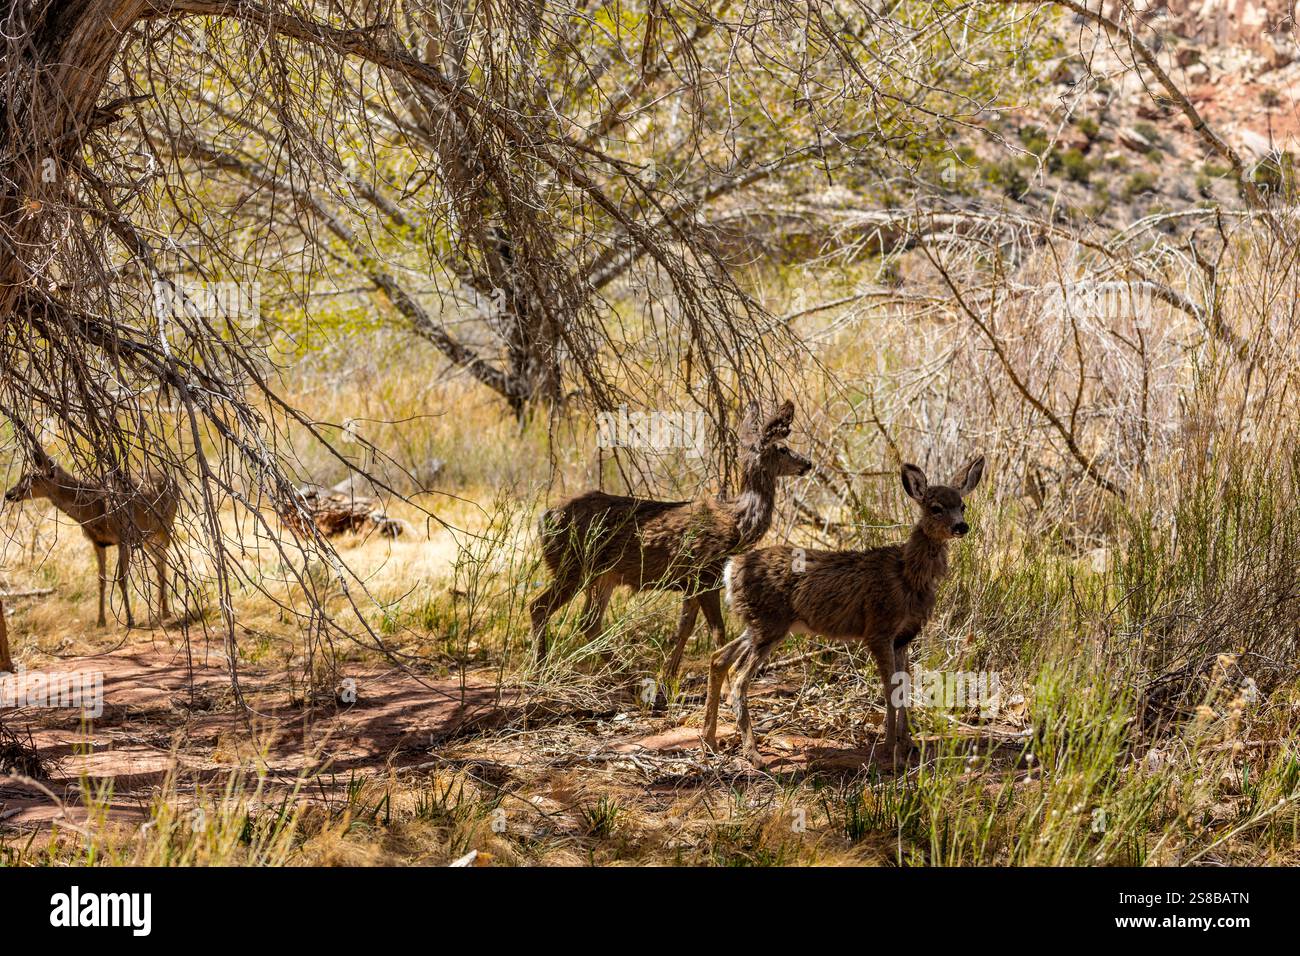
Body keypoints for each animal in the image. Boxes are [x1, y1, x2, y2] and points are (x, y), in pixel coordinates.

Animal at [4, 450, 179, 629]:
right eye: (24, 474)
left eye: (34, 476)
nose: (9, 494)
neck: (95, 509)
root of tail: (172, 479)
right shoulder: (98, 542)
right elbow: (101, 580)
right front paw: (100, 621)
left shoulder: (123, 537)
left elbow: (121, 578)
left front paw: (130, 620)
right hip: (148, 536)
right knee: (160, 562)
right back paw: (162, 612)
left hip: (165, 526)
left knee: (163, 560)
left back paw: (162, 612)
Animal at [530, 400, 812, 681]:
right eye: (783, 448)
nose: (807, 463)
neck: (737, 521)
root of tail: (544, 519)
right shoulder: (704, 575)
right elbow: (717, 630)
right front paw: (719, 675)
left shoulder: (690, 583)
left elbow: (685, 627)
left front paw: (669, 676)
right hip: (573, 566)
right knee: (539, 607)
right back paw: (541, 668)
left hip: (602, 576)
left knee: (587, 621)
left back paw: (626, 676)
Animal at [703, 455, 985, 767]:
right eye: (935, 508)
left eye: (962, 505)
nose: (961, 526)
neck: (907, 574)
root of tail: (731, 569)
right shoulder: (879, 628)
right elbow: (891, 688)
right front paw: (890, 750)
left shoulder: (904, 636)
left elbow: (905, 686)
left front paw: (908, 743)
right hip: (768, 624)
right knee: (739, 678)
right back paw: (754, 755)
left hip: (759, 624)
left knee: (719, 657)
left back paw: (710, 741)